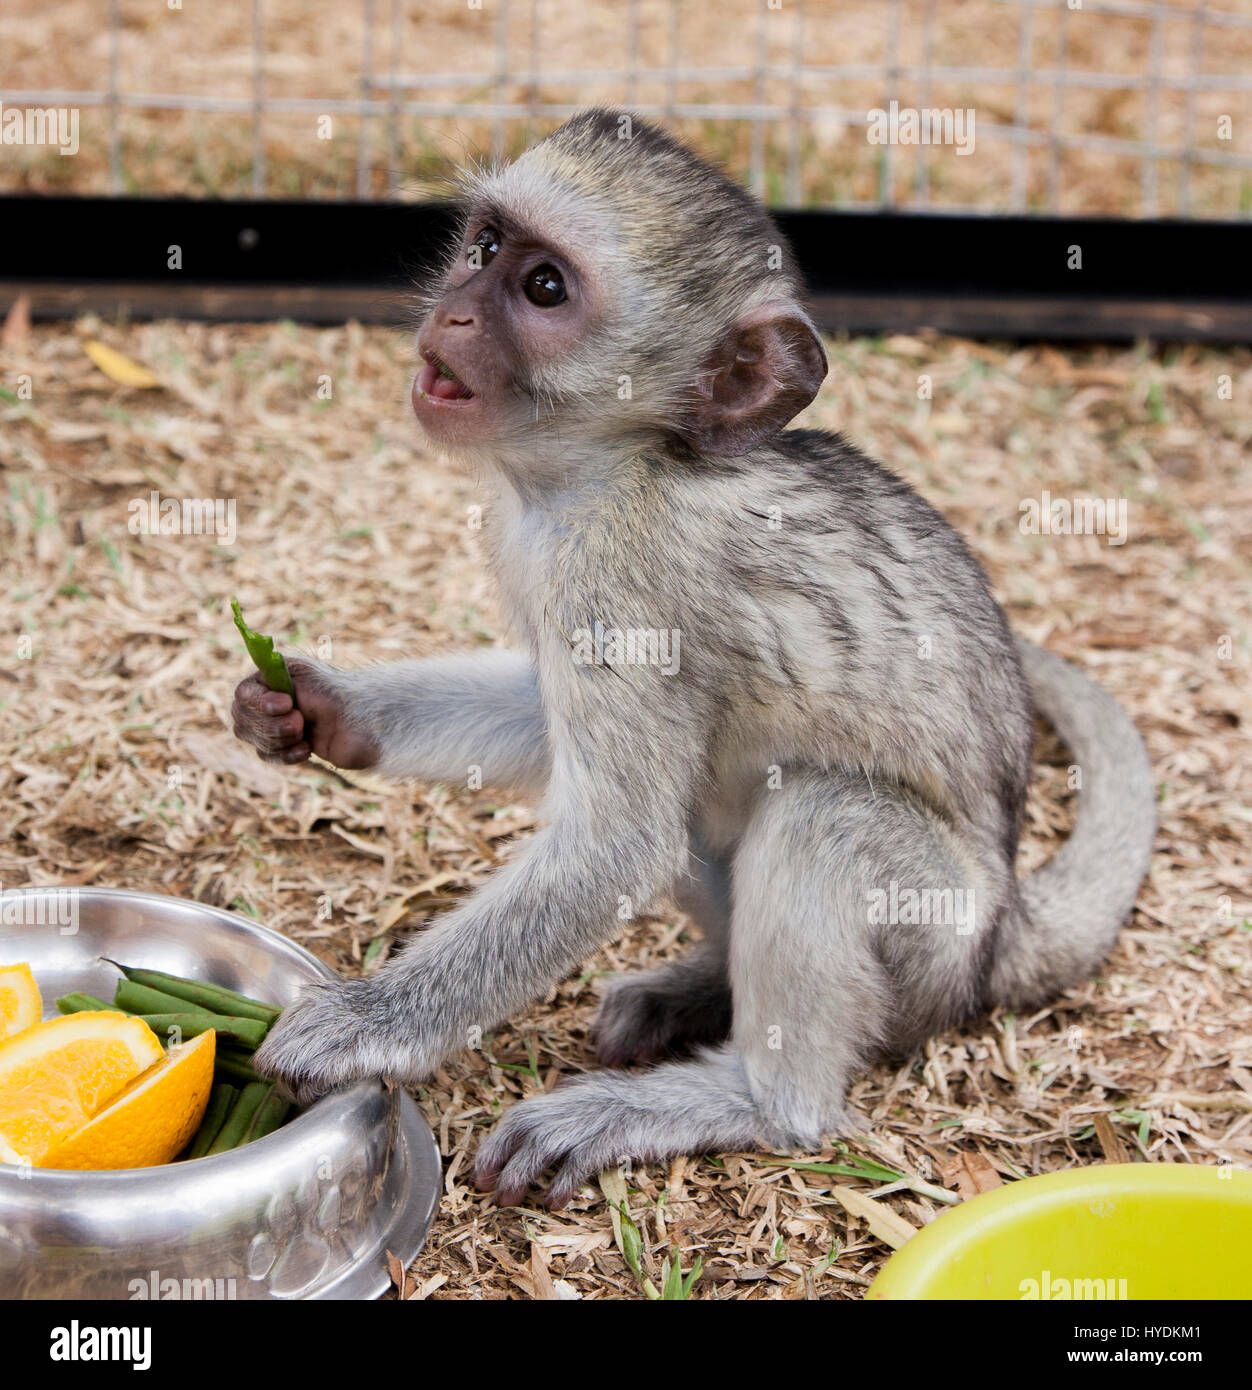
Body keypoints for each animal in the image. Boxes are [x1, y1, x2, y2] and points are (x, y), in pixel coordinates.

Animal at [232, 109, 1156, 1209]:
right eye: (486, 247)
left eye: (545, 289)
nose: (451, 316)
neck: (619, 462)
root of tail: (1000, 934)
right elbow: (554, 735)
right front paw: (321, 710)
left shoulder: (616, 577)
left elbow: (617, 844)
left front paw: (365, 1021)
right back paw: (701, 989)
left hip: (931, 937)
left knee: (822, 817)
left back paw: (749, 1100)